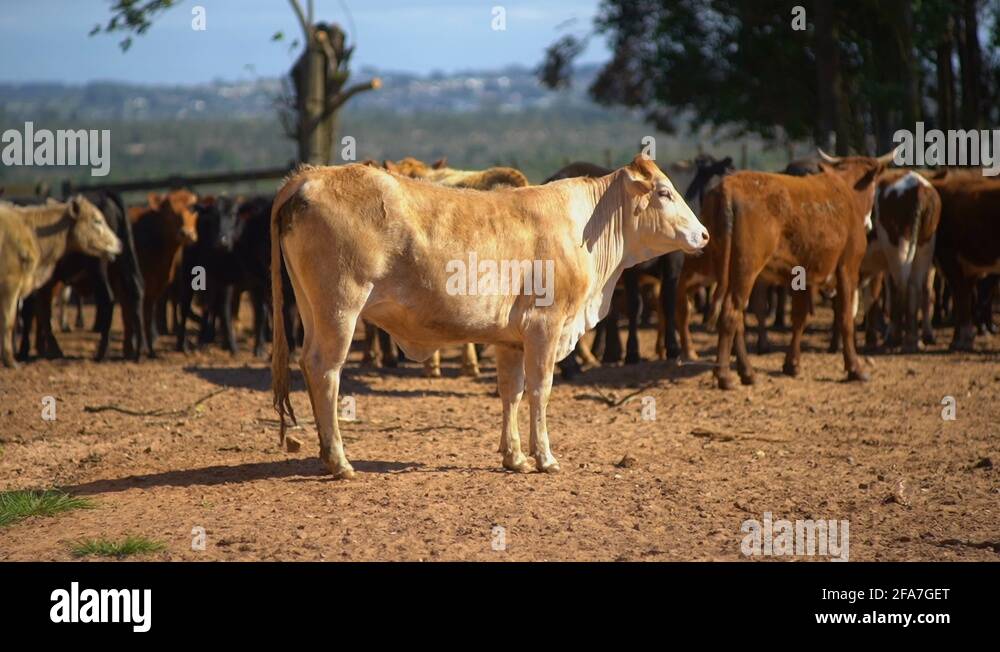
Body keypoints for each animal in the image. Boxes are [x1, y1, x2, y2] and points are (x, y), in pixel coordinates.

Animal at [129, 190, 199, 357]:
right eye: (170, 211)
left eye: (193, 208)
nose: (186, 234)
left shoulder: (158, 286)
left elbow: (149, 314)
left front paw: (151, 350)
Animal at [270, 156, 709, 478]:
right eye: (665, 192)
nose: (703, 234)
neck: (585, 228)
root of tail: (309, 176)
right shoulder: (544, 327)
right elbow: (540, 390)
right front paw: (544, 457)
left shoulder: (510, 339)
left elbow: (510, 392)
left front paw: (513, 457)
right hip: (340, 309)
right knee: (325, 370)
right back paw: (339, 460)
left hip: (312, 309)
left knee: (308, 365)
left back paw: (326, 454)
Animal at [679, 148, 895, 389]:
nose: (869, 224)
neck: (846, 191)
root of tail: (727, 188)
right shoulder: (848, 267)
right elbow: (846, 317)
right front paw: (855, 369)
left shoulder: (803, 275)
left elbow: (800, 318)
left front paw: (792, 364)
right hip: (745, 270)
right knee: (729, 313)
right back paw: (724, 375)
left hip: (713, 265)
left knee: (726, 314)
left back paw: (746, 371)